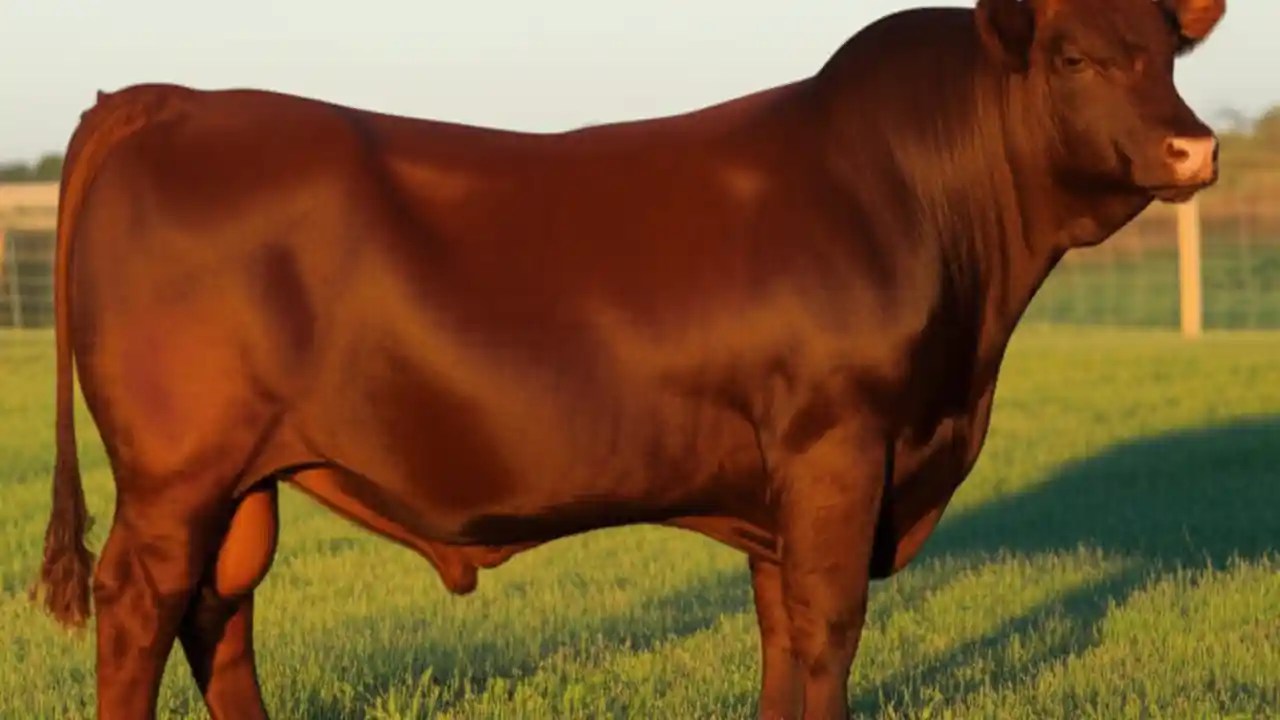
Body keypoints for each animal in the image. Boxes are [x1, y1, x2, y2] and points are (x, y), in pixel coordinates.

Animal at [32, 0, 1225, 718]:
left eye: (1169, 53)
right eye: (1072, 56)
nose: (1194, 146)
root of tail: (169, 100)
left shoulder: (780, 481)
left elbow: (783, 630)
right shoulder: (836, 443)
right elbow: (831, 625)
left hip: (239, 482)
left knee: (218, 611)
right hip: (176, 475)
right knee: (142, 608)